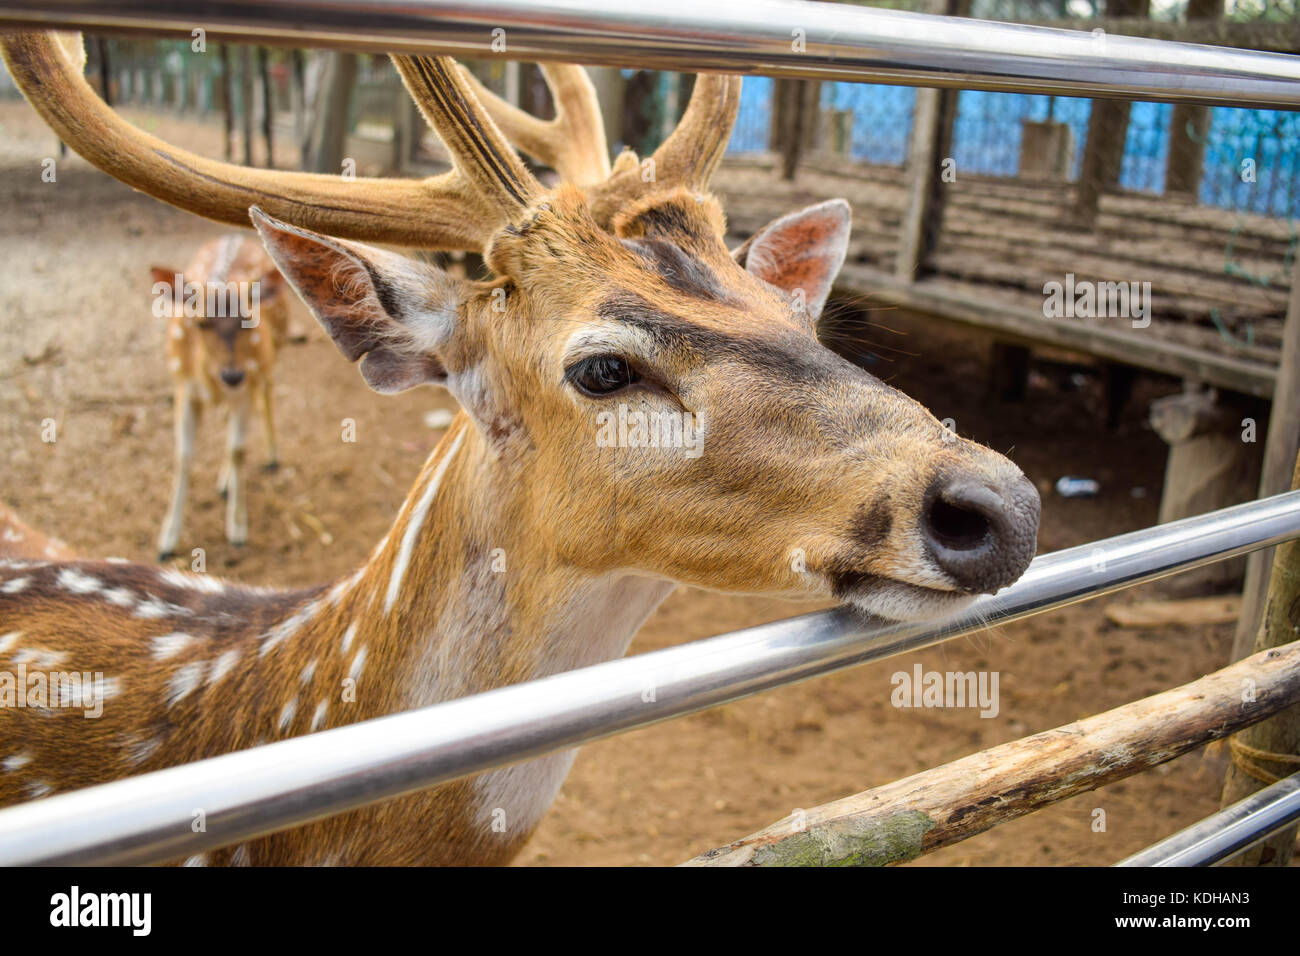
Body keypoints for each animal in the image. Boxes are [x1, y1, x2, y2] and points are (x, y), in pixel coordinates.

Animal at [151, 236, 289, 559]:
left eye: (248, 318)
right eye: (201, 323)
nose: (232, 374)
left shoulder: (246, 387)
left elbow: (238, 450)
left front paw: (237, 529)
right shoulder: (184, 386)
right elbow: (183, 455)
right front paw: (166, 540)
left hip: (270, 358)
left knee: (266, 391)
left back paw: (270, 456)